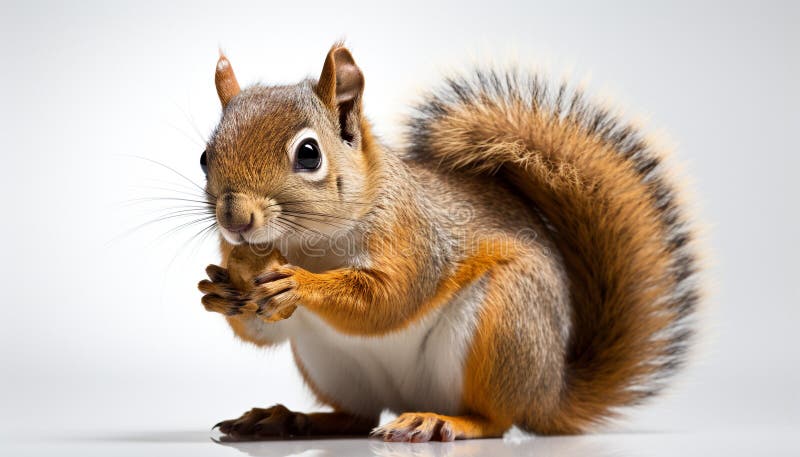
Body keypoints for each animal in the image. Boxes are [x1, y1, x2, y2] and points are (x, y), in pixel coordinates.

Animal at [196, 43, 700, 442]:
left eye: (308, 154)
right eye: (204, 156)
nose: (235, 219)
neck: (306, 242)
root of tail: (549, 392)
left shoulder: (415, 235)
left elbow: (389, 299)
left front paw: (301, 284)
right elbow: (267, 331)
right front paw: (219, 290)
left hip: (506, 322)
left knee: (495, 420)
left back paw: (442, 422)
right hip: (330, 363)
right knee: (357, 417)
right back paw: (287, 419)